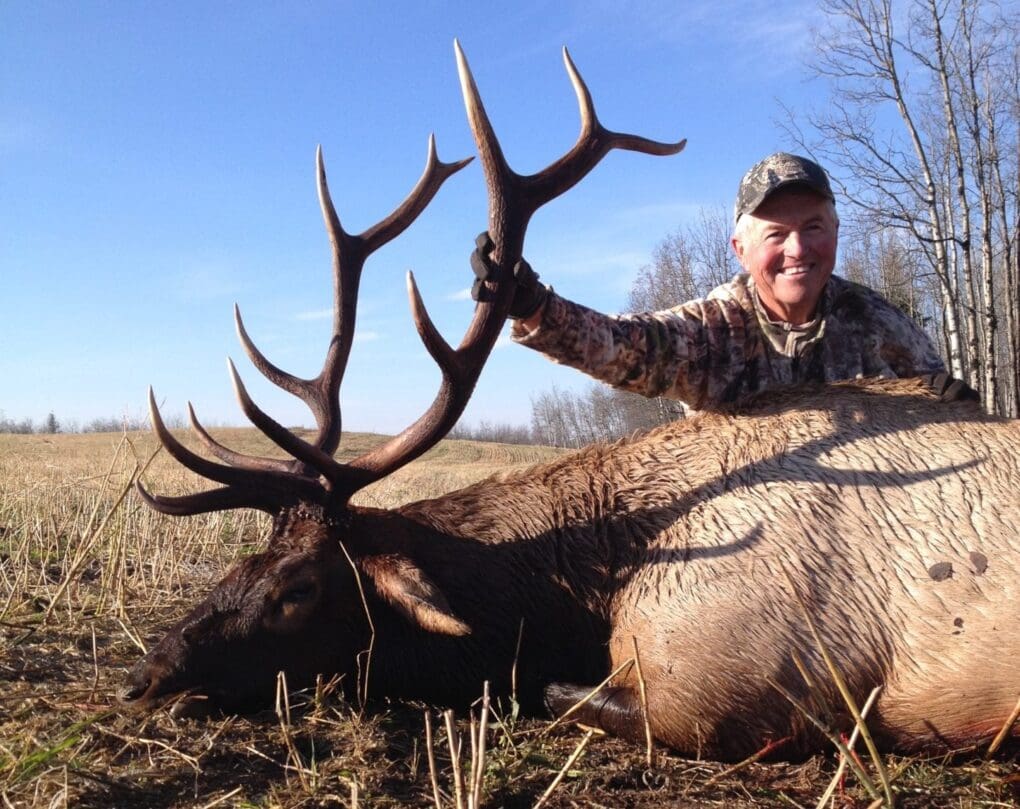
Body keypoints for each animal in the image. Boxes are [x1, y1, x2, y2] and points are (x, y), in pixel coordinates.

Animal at [122, 43, 1020, 762]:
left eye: (300, 588)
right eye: (243, 561)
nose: (148, 673)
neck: (593, 588)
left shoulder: (731, 688)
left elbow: (547, 691)